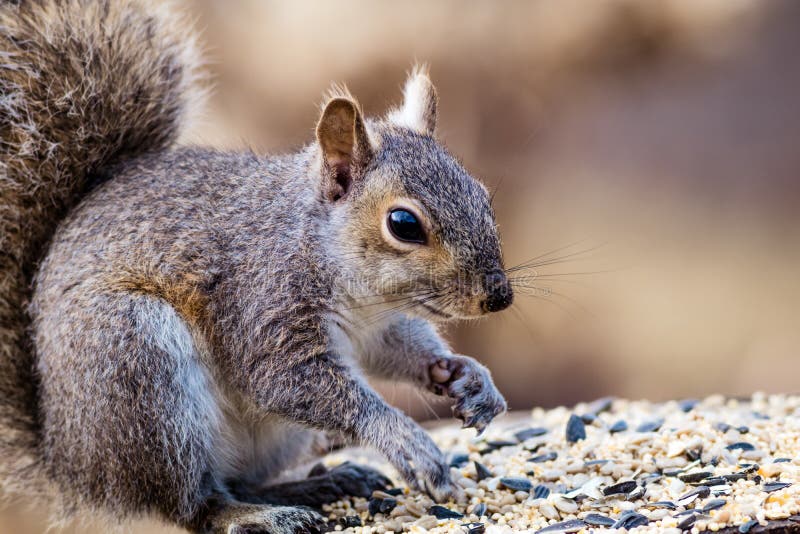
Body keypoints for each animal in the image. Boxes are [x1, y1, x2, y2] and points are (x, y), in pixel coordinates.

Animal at [0, 0, 513, 532]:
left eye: (482, 195)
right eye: (403, 223)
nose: (499, 296)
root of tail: (70, 465)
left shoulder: (377, 328)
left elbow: (399, 351)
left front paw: (466, 376)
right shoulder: (263, 303)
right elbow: (285, 381)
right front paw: (406, 440)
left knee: (237, 483)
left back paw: (318, 484)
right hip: (137, 370)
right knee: (196, 504)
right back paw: (262, 513)